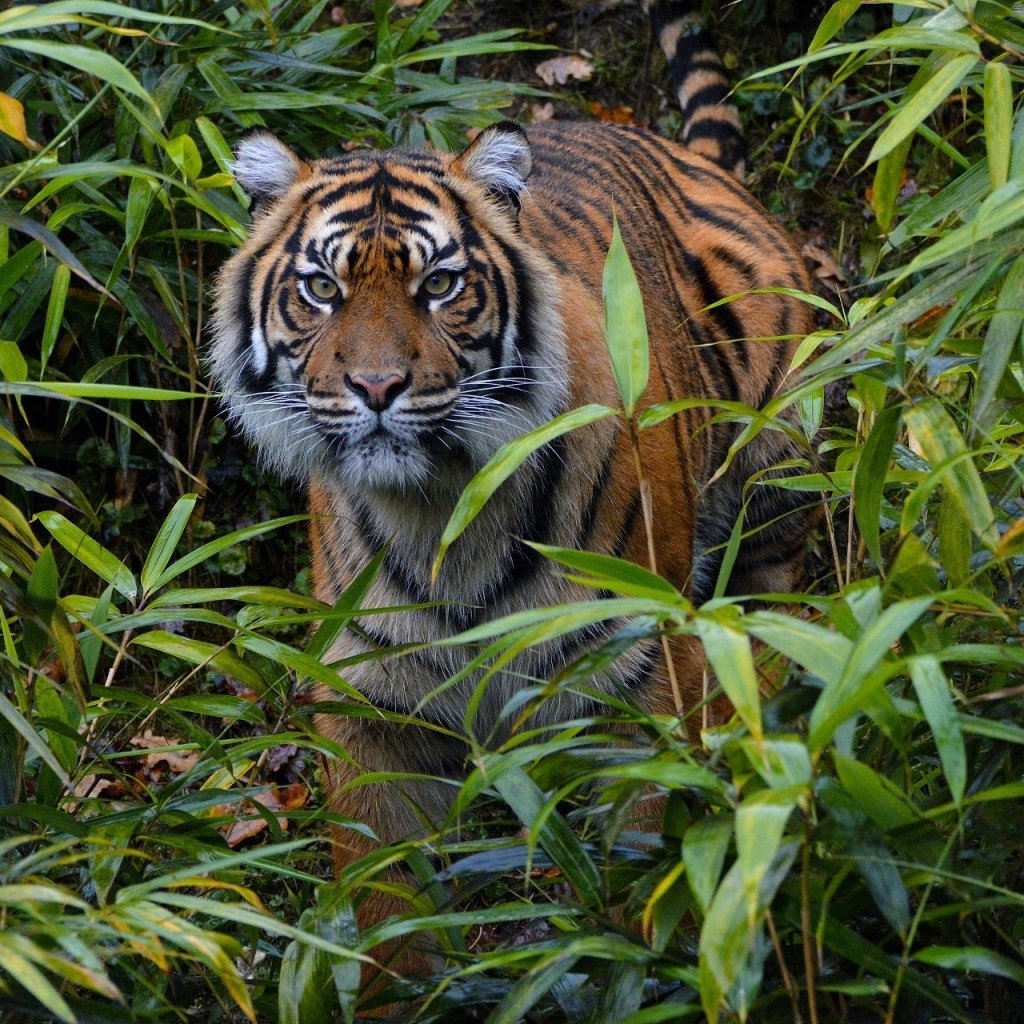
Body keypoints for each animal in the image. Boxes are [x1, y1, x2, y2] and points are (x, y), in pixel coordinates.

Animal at [209, 0, 814, 992]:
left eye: (440, 284)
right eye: (323, 289)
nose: (377, 387)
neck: (440, 512)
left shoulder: (640, 674)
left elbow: (644, 872)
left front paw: (635, 968)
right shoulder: (370, 708)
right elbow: (386, 912)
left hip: (782, 441)